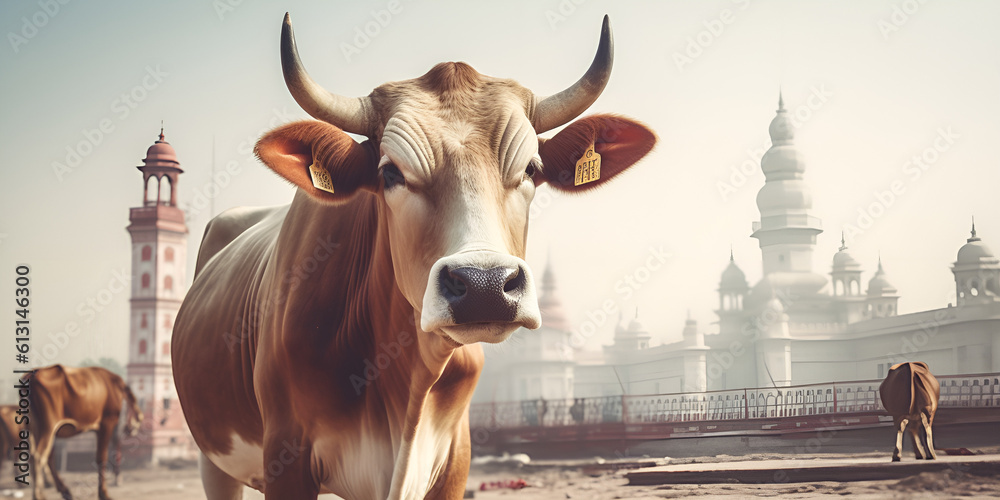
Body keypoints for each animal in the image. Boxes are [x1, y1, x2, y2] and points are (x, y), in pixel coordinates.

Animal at [28, 365, 143, 500]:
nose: (140, 418)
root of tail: (32, 375)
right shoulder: (107, 422)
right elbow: (102, 458)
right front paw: (104, 493)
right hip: (48, 426)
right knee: (38, 456)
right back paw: (38, 494)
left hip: (37, 427)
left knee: (47, 457)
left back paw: (64, 491)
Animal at [172, 13, 656, 500]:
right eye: (389, 173)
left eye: (532, 169)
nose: (484, 286)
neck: (407, 383)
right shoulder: (285, 456)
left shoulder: (455, 458)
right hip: (213, 458)